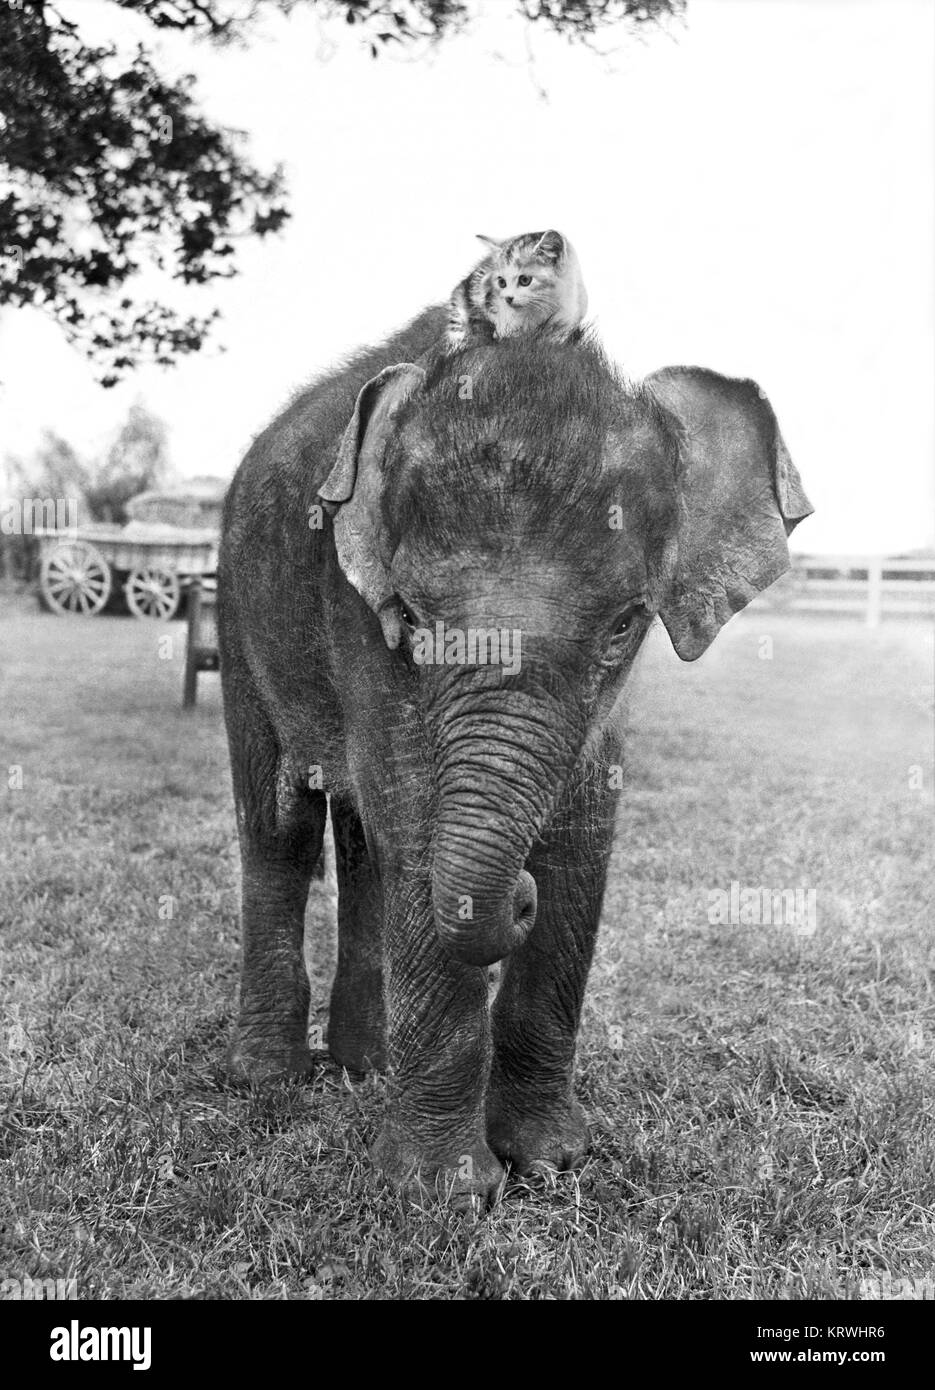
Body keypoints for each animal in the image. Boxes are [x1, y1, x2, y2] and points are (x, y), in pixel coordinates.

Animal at [217, 304, 812, 1202]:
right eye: (410, 619)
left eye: (623, 626)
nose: (517, 895)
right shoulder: (351, 607)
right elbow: (418, 826)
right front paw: (446, 1194)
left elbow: (582, 842)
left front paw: (549, 1162)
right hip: (235, 612)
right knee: (281, 831)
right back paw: (271, 1080)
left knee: (363, 850)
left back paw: (366, 1067)